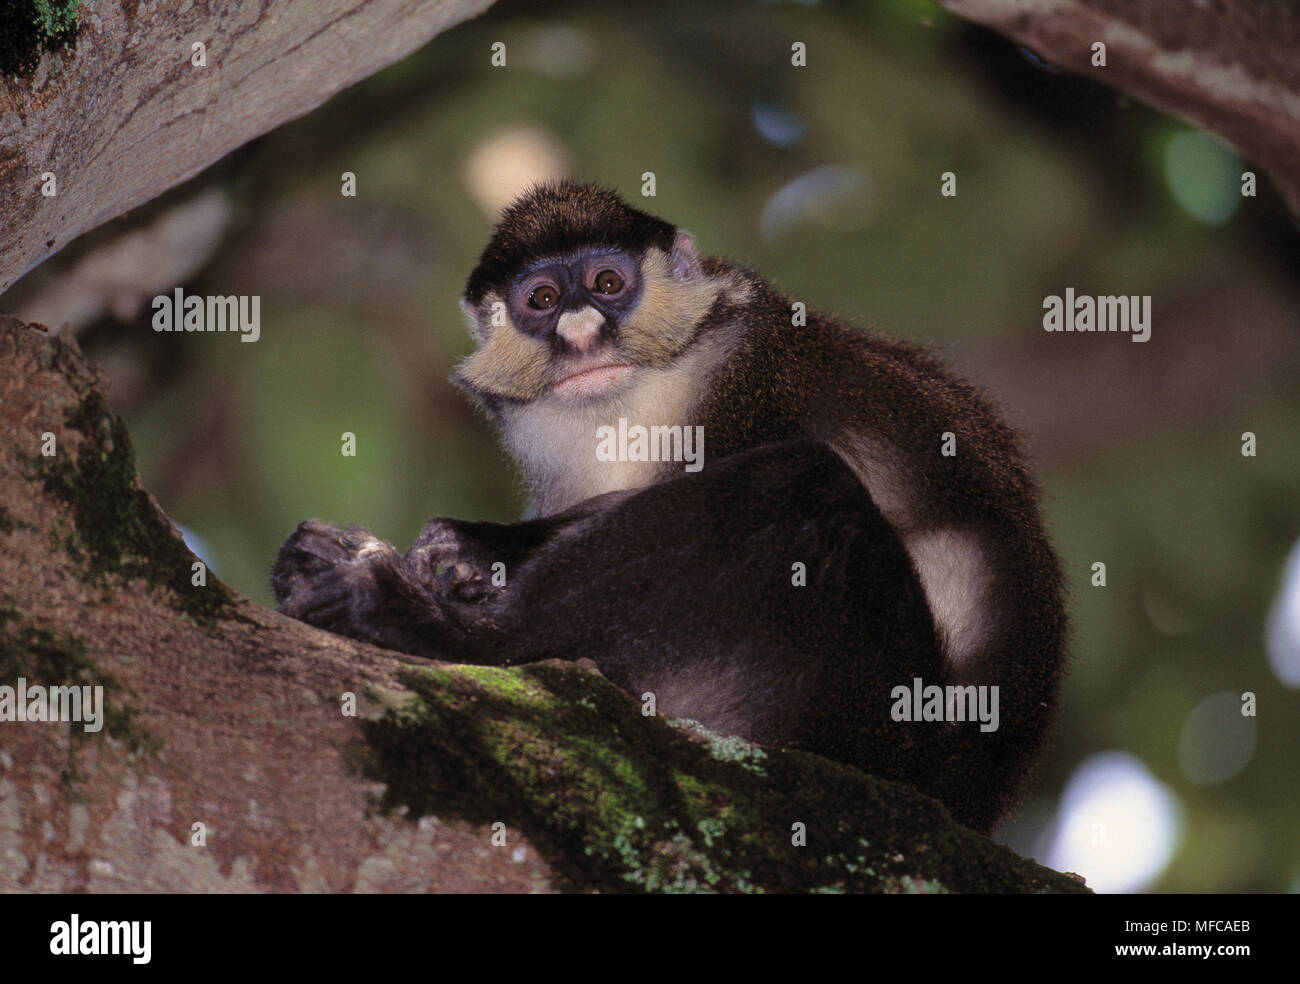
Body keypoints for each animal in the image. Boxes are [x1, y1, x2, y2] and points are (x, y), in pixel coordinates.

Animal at [272, 180, 1068, 834]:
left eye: (607, 282)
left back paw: (436, 629)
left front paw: (472, 556)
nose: (582, 334)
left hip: (871, 712)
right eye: (541, 301)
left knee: (800, 480)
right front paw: (468, 554)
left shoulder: (750, 371)